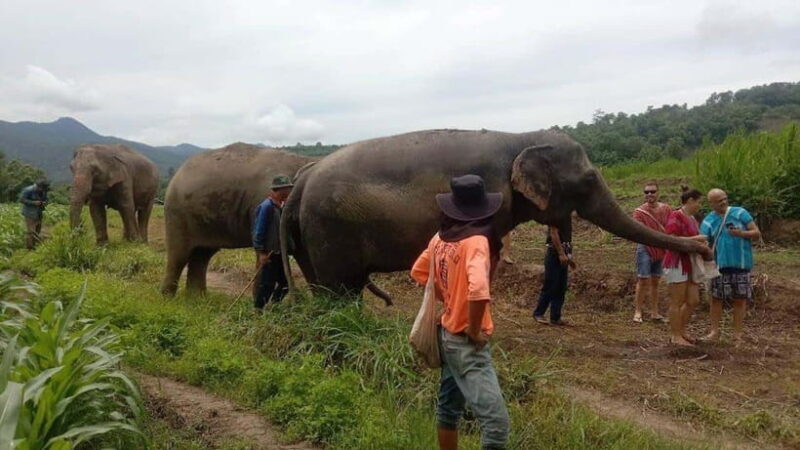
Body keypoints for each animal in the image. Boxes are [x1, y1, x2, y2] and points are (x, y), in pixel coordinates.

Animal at [160, 143, 313, 296]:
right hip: (177, 215)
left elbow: (302, 250)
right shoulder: (260, 205)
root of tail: (177, 173)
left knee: (202, 255)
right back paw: (168, 298)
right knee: (178, 256)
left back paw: (196, 298)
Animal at [280, 128, 710, 301]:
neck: (520, 138)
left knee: (326, 286)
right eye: (589, 179)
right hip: (329, 228)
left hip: (309, 231)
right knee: (339, 286)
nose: (704, 244)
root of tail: (302, 179)